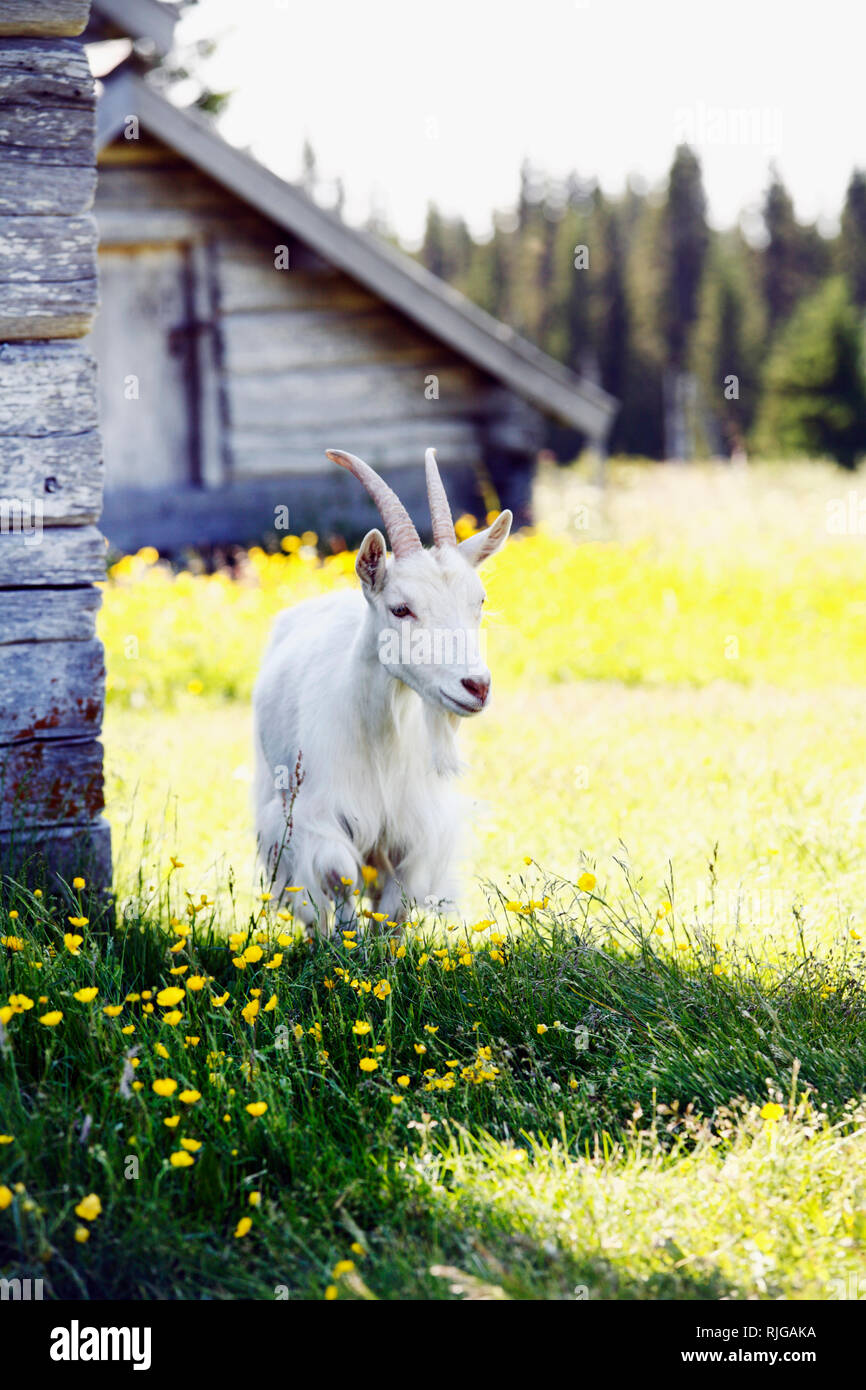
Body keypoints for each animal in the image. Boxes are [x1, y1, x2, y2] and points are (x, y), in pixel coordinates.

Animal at [252, 447, 512, 931]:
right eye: (401, 608)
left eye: (480, 600)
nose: (477, 686)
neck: (379, 741)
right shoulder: (317, 816)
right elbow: (339, 878)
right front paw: (345, 942)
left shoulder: (418, 831)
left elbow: (395, 907)